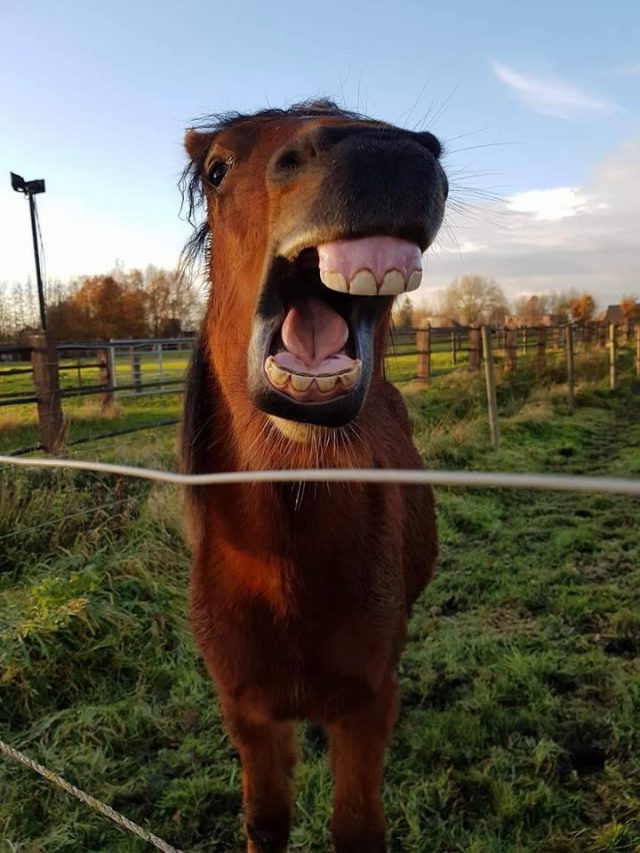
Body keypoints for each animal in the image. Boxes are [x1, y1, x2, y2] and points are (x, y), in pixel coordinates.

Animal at [180, 99, 448, 852]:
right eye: (216, 169)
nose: (382, 155)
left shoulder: (366, 705)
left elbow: (356, 826)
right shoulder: (247, 713)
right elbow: (266, 821)